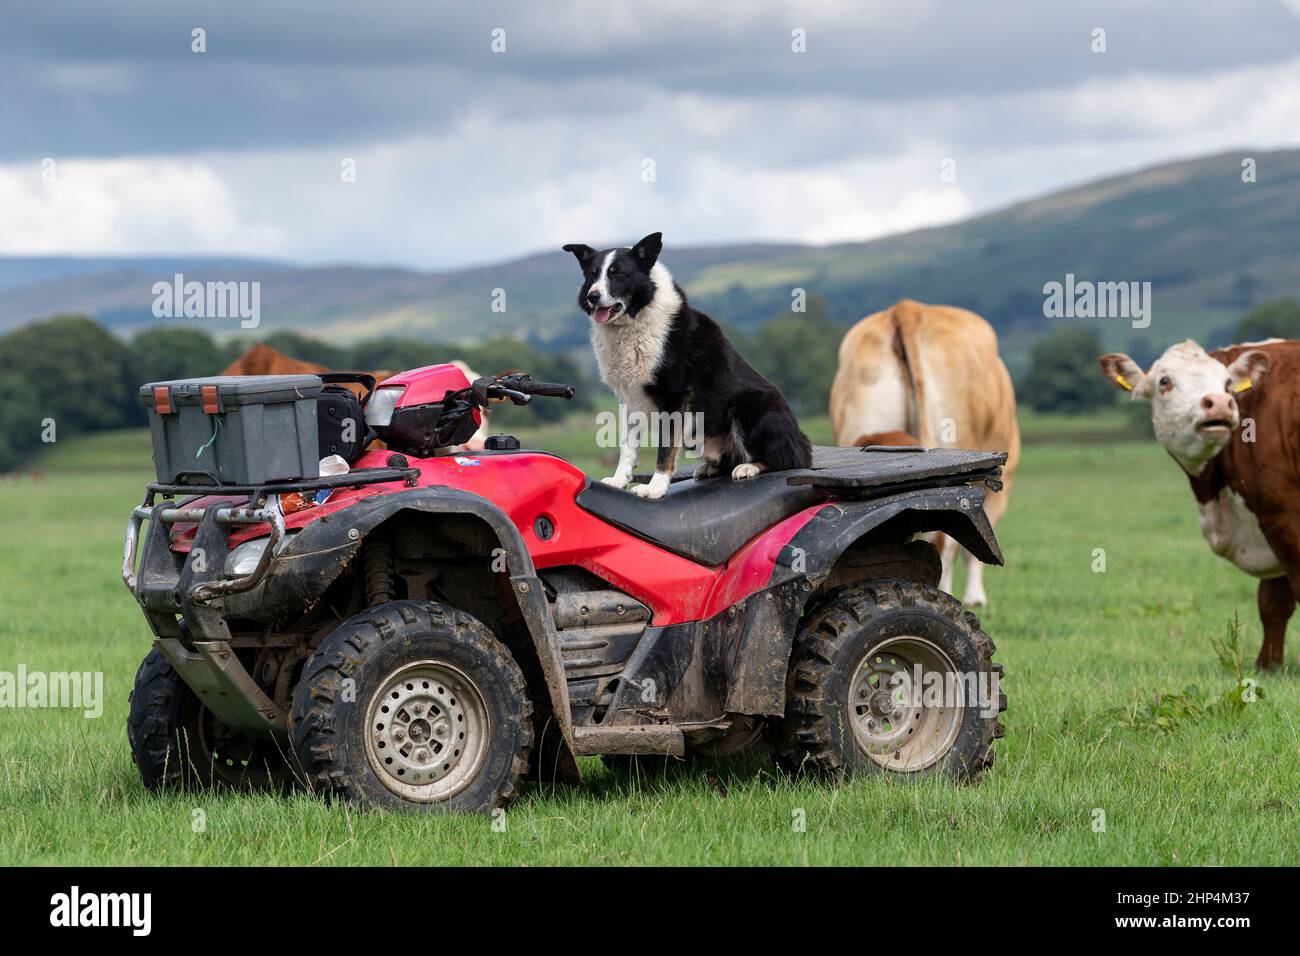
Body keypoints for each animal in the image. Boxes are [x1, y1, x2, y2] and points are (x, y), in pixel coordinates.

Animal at [1099, 338, 1292, 668]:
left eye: (1227, 383)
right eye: (1164, 381)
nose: (1220, 402)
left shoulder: (1285, 519)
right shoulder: (1270, 518)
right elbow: (1274, 602)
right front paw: (1269, 666)